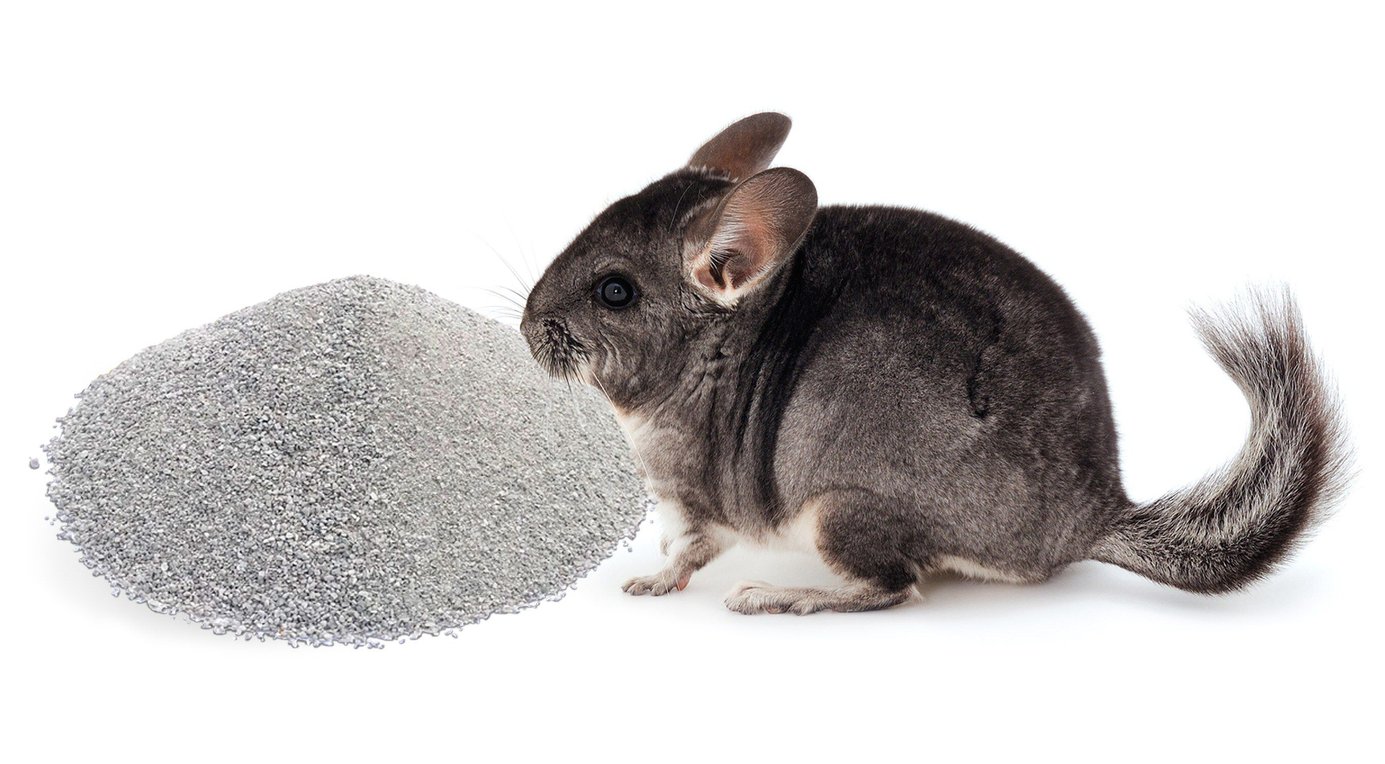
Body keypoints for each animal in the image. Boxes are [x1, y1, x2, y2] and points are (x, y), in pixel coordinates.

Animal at [519, 112, 1350, 615]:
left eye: (615, 291)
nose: (527, 329)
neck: (712, 351)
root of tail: (1091, 514)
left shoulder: (694, 493)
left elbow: (688, 550)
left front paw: (645, 581)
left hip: (842, 509)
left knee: (891, 588)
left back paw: (780, 597)